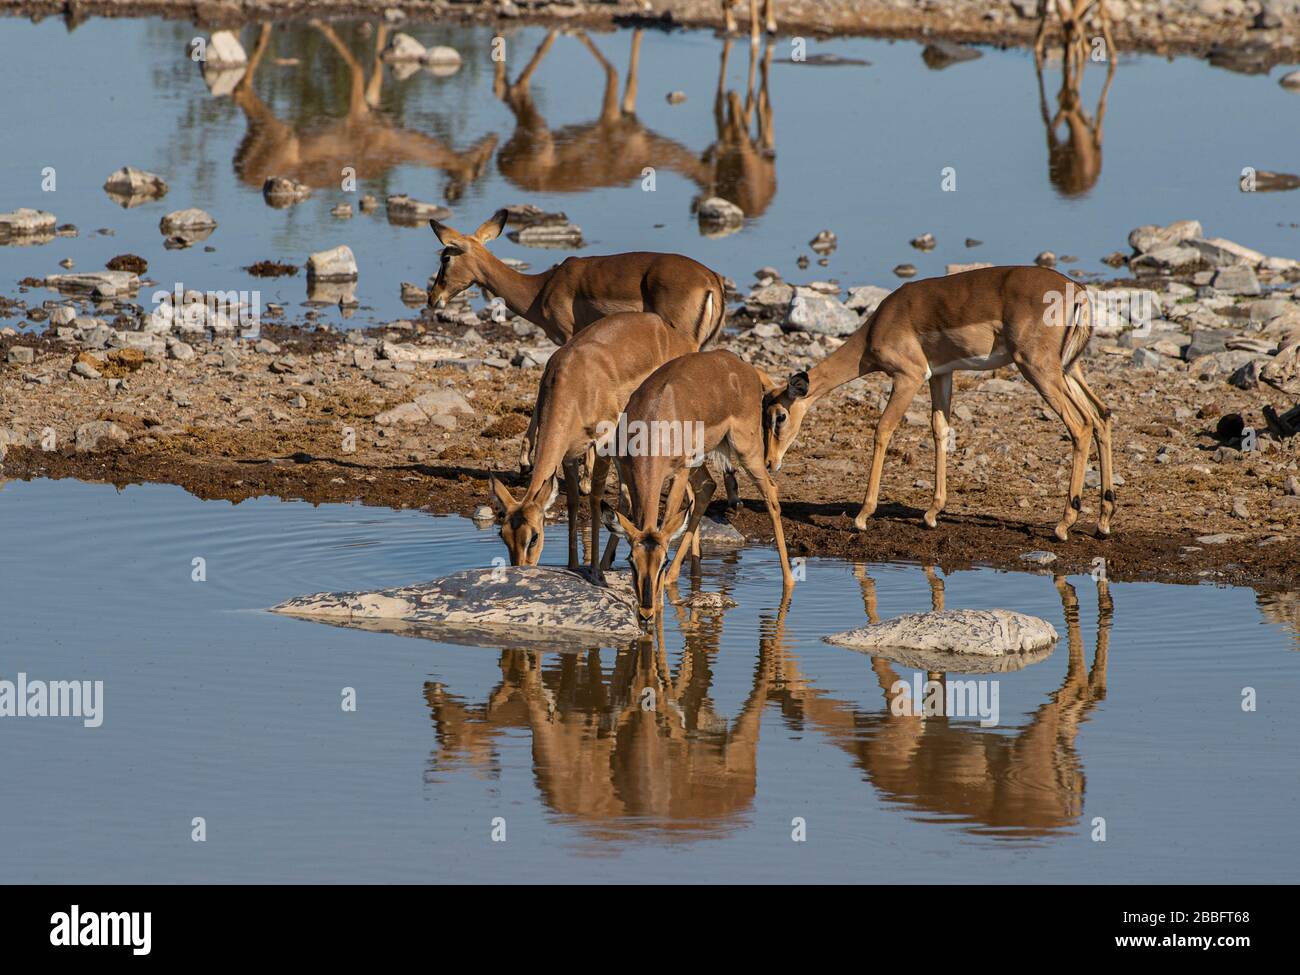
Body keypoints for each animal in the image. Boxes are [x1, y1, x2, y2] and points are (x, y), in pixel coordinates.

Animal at [487, 311, 702, 584]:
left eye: (533, 536)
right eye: (503, 535)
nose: (521, 569)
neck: (574, 383)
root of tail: (679, 338)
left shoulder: (602, 444)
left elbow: (595, 499)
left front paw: (595, 572)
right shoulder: (569, 455)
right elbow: (573, 501)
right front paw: (572, 565)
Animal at [603, 349, 796, 623]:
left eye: (663, 560)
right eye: (631, 560)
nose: (646, 612)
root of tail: (741, 365)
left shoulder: (679, 472)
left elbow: (669, 519)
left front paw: (660, 602)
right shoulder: (624, 473)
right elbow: (623, 512)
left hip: (745, 450)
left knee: (770, 491)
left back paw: (789, 581)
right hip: (701, 461)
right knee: (707, 487)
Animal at [762, 265, 1115, 542]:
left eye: (780, 416)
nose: (770, 463)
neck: (877, 329)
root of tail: (1076, 290)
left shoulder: (909, 376)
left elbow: (883, 430)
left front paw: (862, 516)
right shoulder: (941, 374)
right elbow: (940, 431)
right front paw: (932, 513)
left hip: (1037, 368)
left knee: (1080, 424)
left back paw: (1063, 524)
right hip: (1067, 369)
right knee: (1101, 415)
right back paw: (1103, 522)